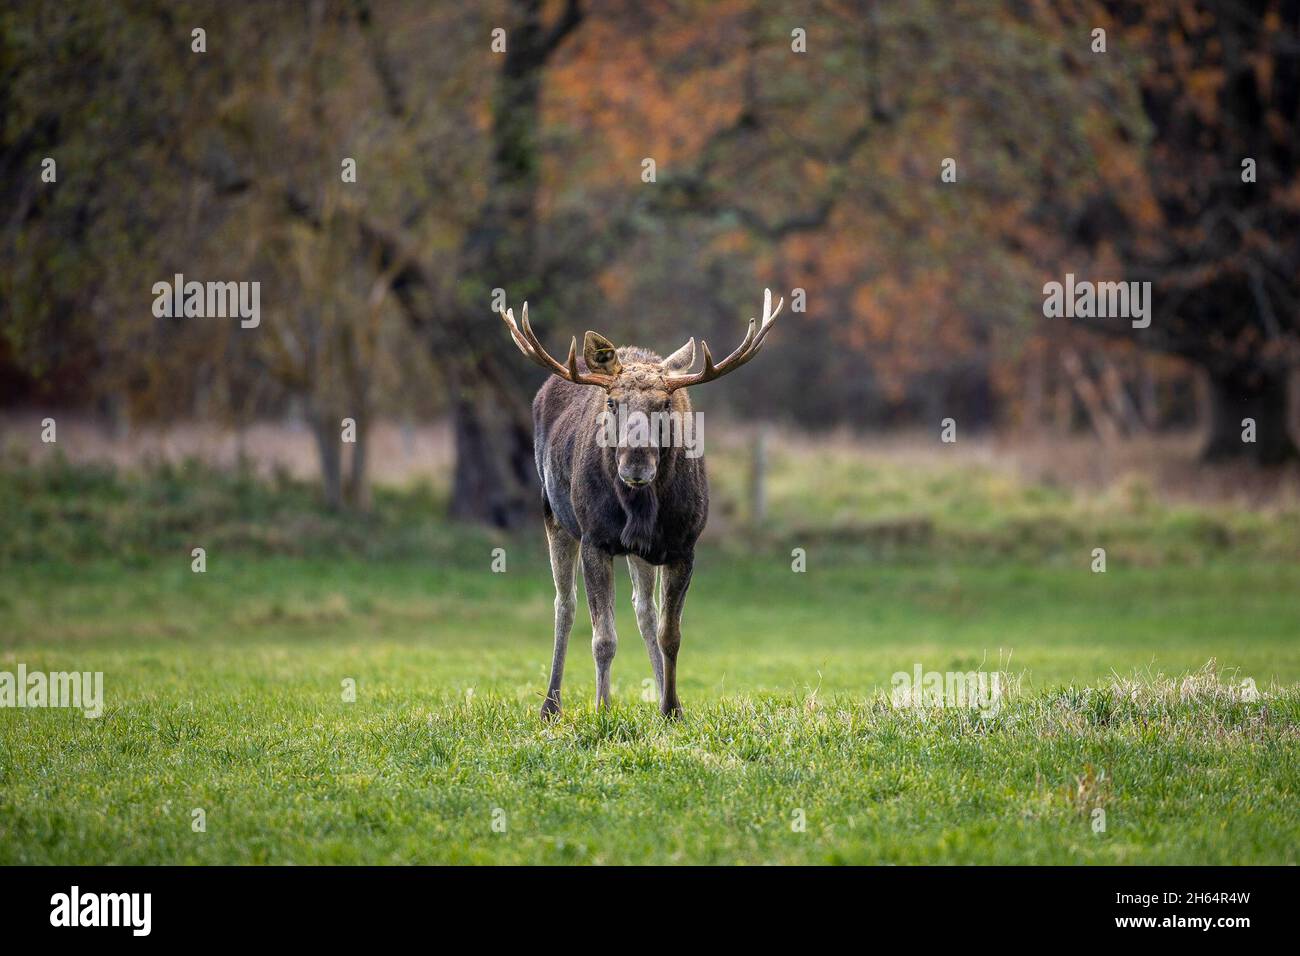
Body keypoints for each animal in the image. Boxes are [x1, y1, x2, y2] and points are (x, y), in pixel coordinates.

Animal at [498, 289, 783, 719]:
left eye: (664, 404)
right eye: (612, 403)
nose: (635, 465)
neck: (641, 509)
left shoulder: (684, 546)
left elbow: (670, 633)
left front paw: (671, 709)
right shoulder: (596, 539)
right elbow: (603, 638)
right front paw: (602, 709)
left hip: (640, 550)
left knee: (643, 609)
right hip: (555, 514)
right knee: (564, 605)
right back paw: (550, 705)